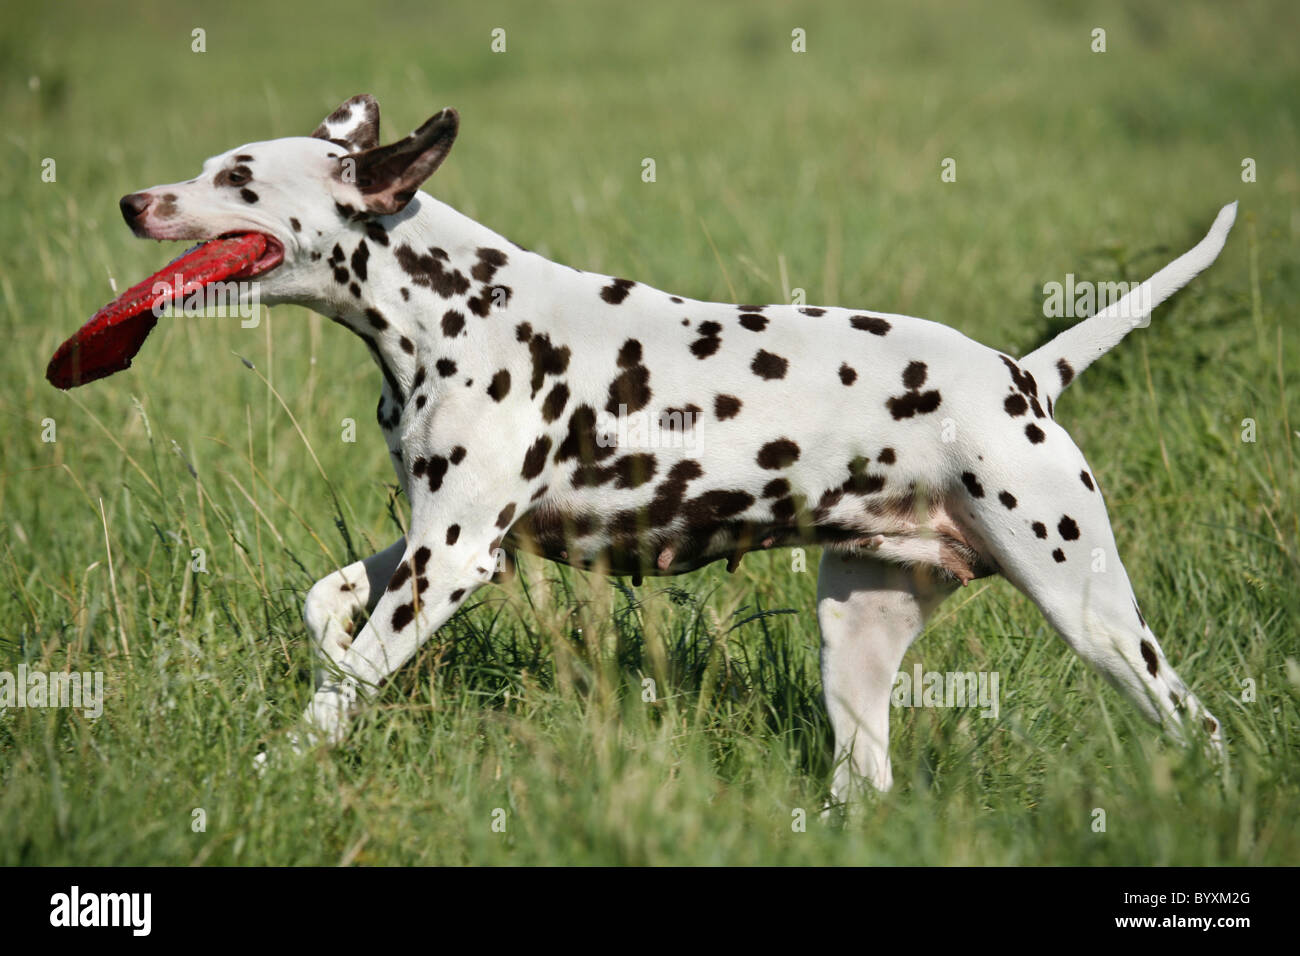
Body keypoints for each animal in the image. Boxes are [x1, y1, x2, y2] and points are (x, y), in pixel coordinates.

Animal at [109, 97, 1227, 801]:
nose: (131, 200)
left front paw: (282, 761)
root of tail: (1021, 374)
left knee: (1199, 725)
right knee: (863, 779)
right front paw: (332, 643)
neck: (454, 305)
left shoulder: (454, 559)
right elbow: (327, 609)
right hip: (856, 643)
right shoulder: (439, 541)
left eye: (236, 177)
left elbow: (342, 689)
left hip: (1092, 612)